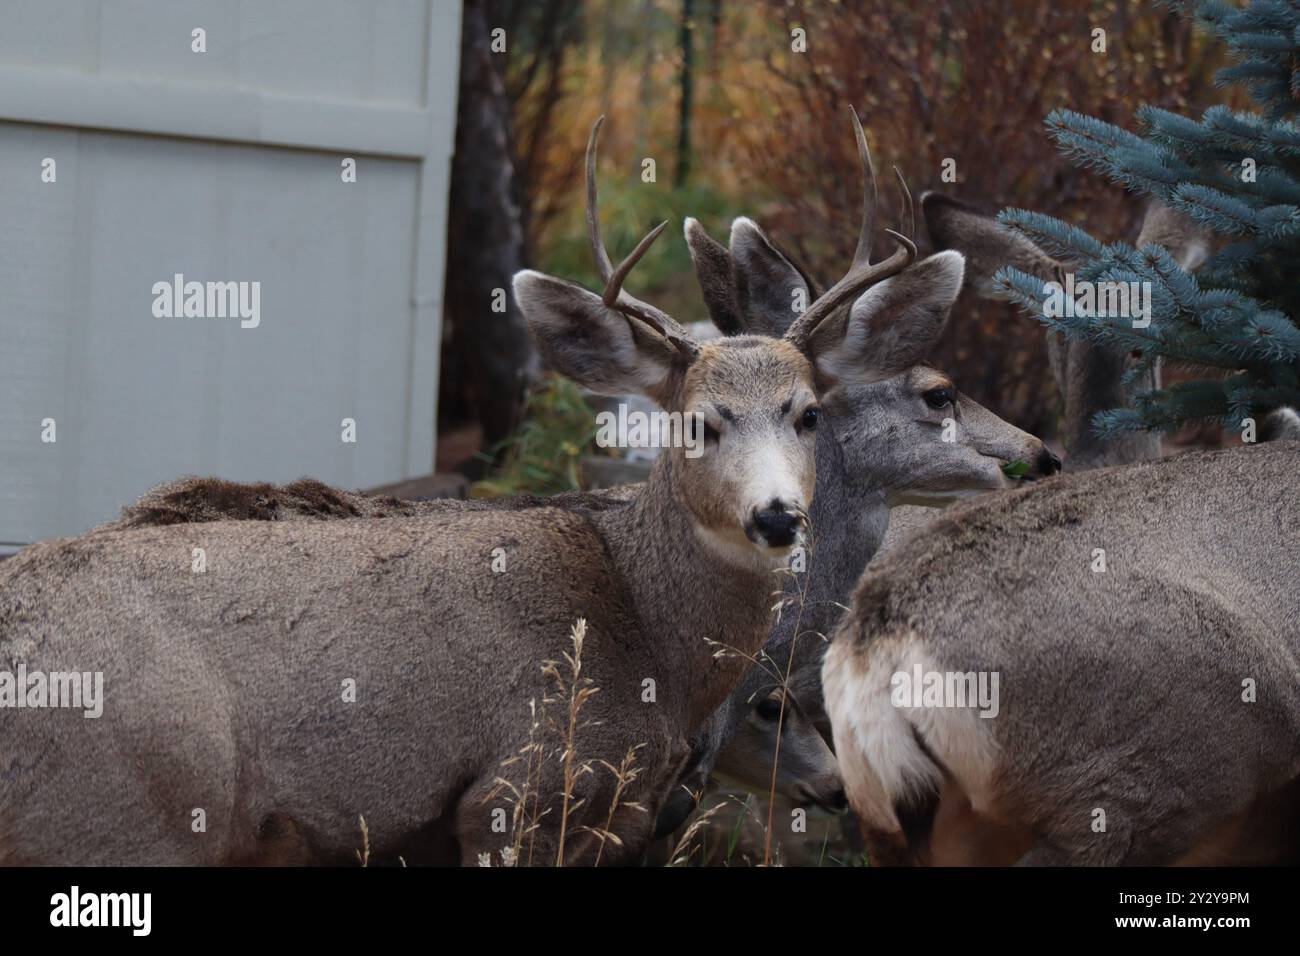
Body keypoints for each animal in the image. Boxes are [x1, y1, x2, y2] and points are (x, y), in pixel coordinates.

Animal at [0, 110, 996, 867]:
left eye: (808, 414)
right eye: (694, 422)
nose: (778, 514)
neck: (649, 645)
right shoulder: (513, 791)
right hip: (133, 813)